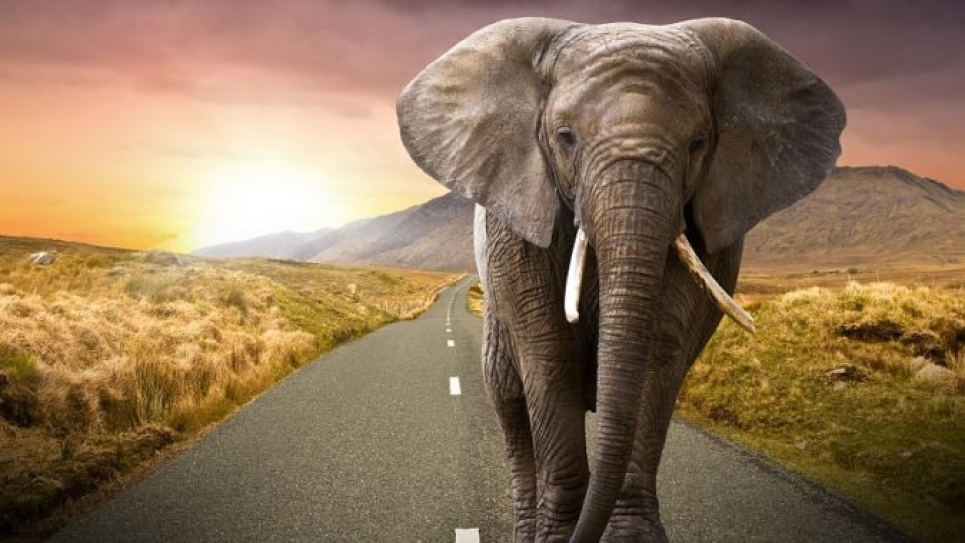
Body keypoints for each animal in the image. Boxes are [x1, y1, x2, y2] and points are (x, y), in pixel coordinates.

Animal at [397, 17, 845, 542]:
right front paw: (558, 535)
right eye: (565, 136)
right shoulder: (515, 223)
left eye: (698, 143)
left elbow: (659, 350)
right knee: (509, 400)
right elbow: (549, 353)